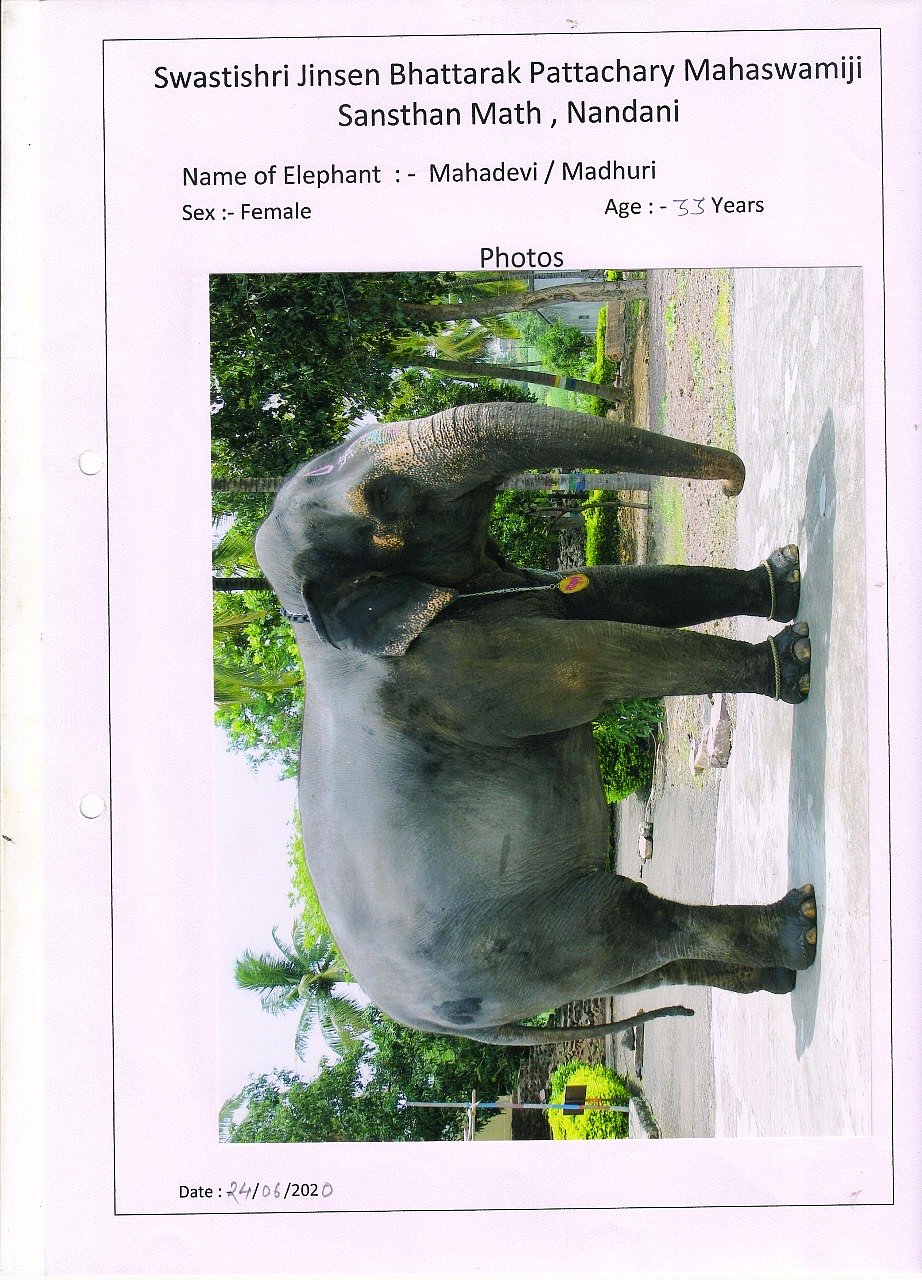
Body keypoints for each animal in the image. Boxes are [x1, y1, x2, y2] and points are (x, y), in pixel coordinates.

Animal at [255, 402, 817, 1046]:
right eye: (384, 498)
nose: (732, 483)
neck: (305, 623)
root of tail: (428, 1021)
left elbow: (613, 593)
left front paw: (785, 578)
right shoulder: (450, 672)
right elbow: (595, 663)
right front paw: (794, 658)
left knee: (646, 971)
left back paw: (773, 976)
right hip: (515, 944)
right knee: (632, 927)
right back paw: (799, 927)